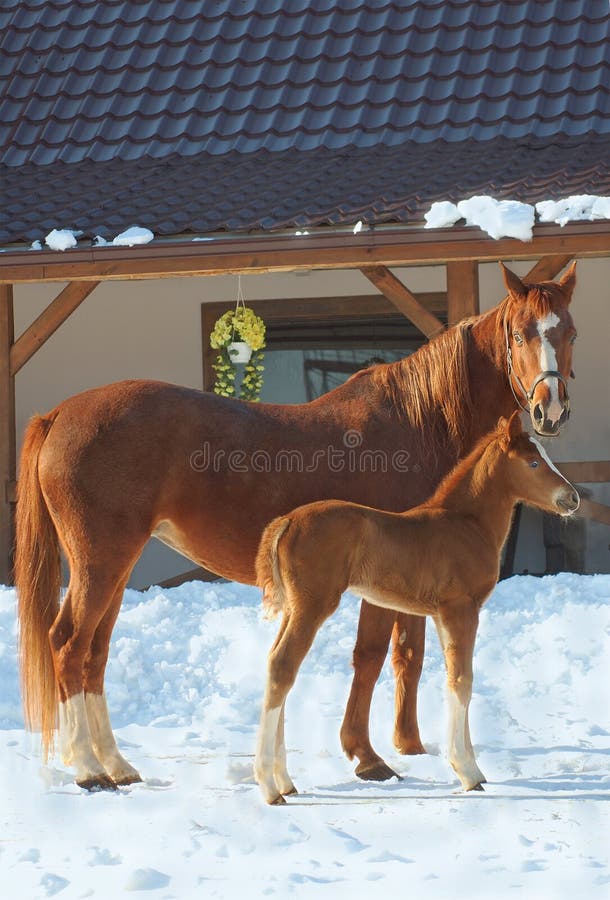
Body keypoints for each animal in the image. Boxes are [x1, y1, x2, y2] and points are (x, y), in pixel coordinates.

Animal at [254, 412, 580, 804]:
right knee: (282, 666)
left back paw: (285, 780)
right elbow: (463, 679)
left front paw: (471, 766)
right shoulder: (461, 610)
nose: (573, 498)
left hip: (294, 608)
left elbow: (454, 676)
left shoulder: (441, 615)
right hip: (312, 605)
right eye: (533, 462)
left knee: (277, 665)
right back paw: (270, 787)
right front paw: (467, 772)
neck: (467, 524)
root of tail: (286, 521)